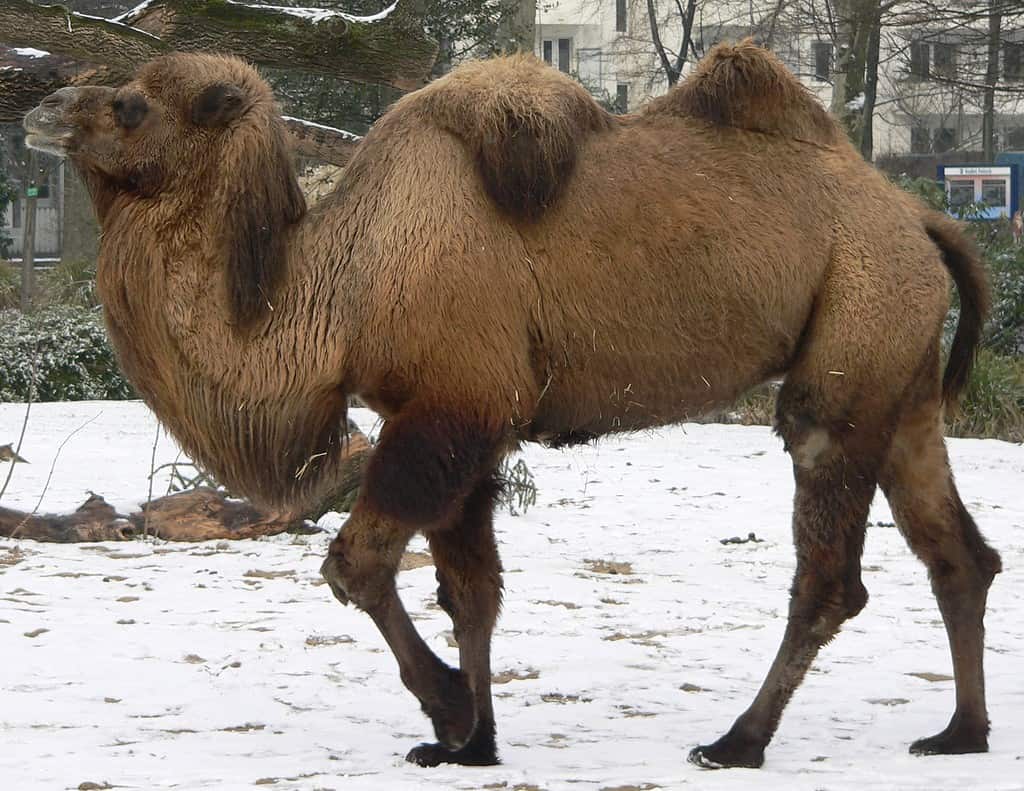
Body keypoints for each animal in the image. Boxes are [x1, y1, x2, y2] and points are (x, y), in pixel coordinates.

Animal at [23, 42, 1000, 770]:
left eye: (134, 107)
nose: (43, 108)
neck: (341, 284)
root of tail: (918, 217)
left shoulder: (452, 410)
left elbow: (357, 565)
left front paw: (452, 709)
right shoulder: (462, 423)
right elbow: (471, 590)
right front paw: (473, 743)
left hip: (848, 353)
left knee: (828, 560)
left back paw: (738, 741)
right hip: (901, 377)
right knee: (958, 551)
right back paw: (959, 732)